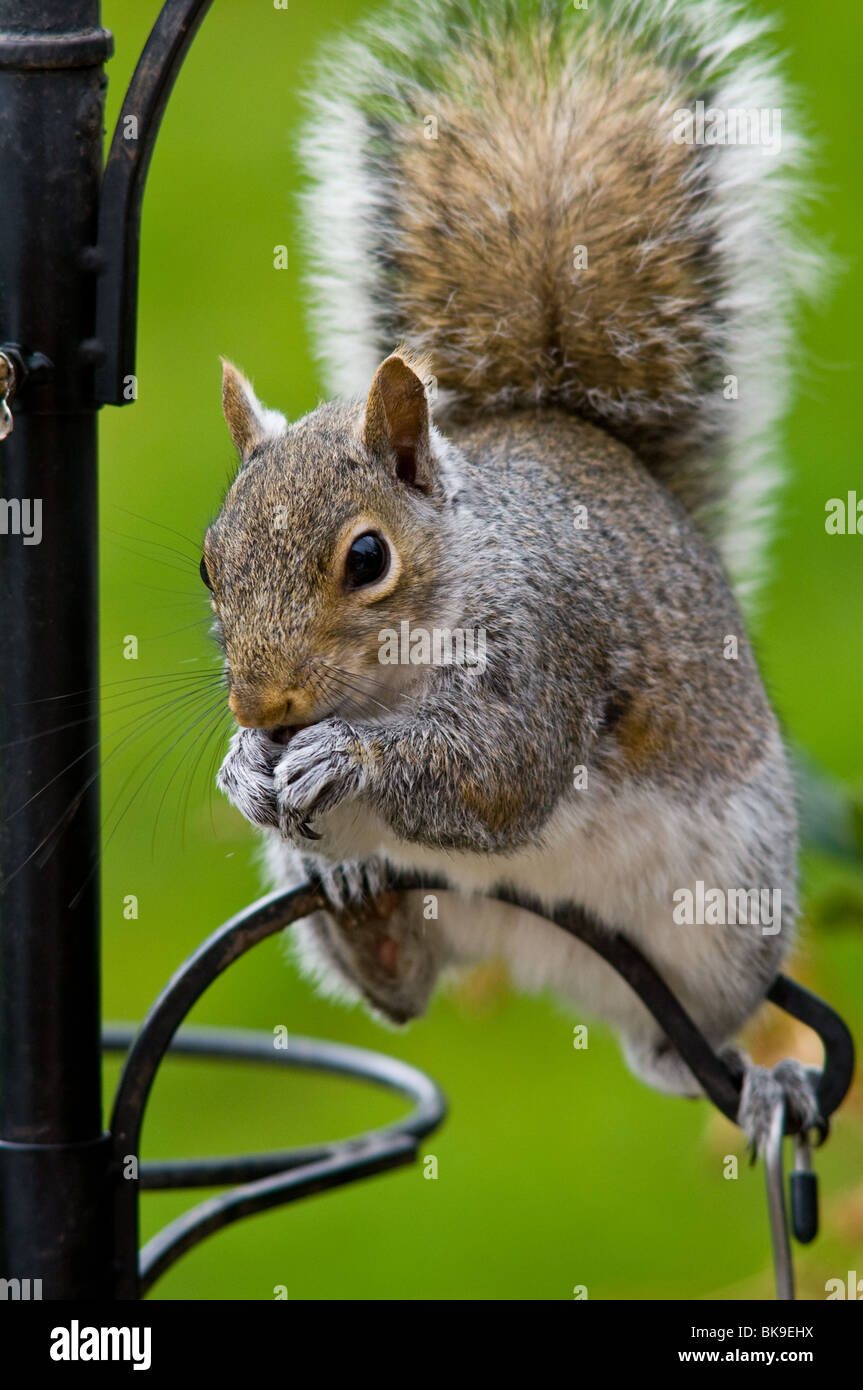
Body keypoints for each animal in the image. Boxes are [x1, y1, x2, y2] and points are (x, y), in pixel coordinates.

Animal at [211, 0, 821, 1143]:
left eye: (367, 557)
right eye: (207, 563)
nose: (262, 708)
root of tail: (533, 954)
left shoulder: (551, 640)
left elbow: (502, 775)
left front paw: (345, 759)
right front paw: (242, 767)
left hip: (725, 917)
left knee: (677, 1054)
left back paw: (766, 1084)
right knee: (402, 991)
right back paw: (364, 904)